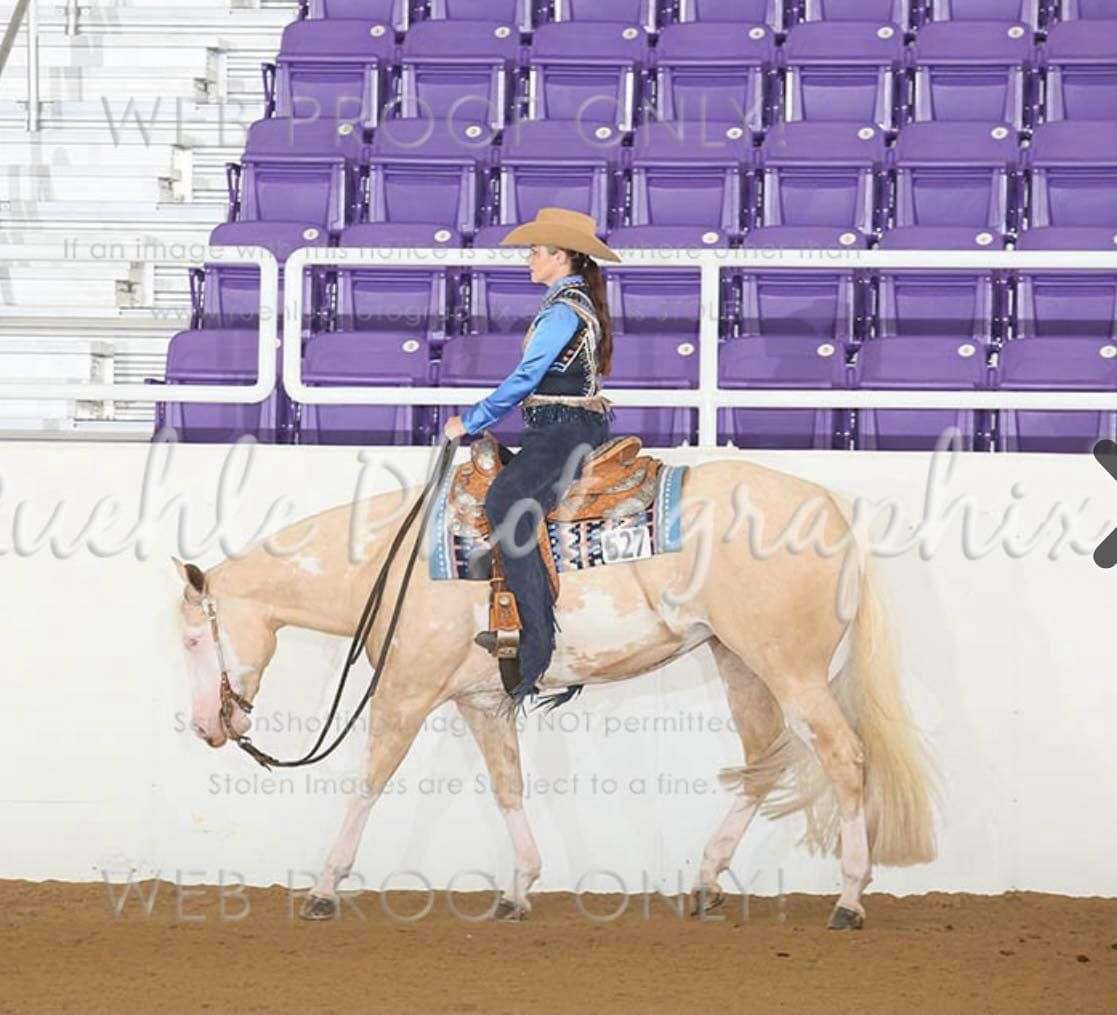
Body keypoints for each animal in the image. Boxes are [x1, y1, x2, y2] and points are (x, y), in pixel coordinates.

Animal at [173, 448, 939, 930]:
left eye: (189, 641)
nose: (207, 726)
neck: (390, 568)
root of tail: (832, 512)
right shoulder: (481, 701)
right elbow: (507, 784)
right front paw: (518, 889)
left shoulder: (405, 693)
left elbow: (367, 782)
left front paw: (323, 888)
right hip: (741, 661)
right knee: (762, 759)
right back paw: (705, 881)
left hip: (792, 669)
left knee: (843, 757)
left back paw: (848, 898)